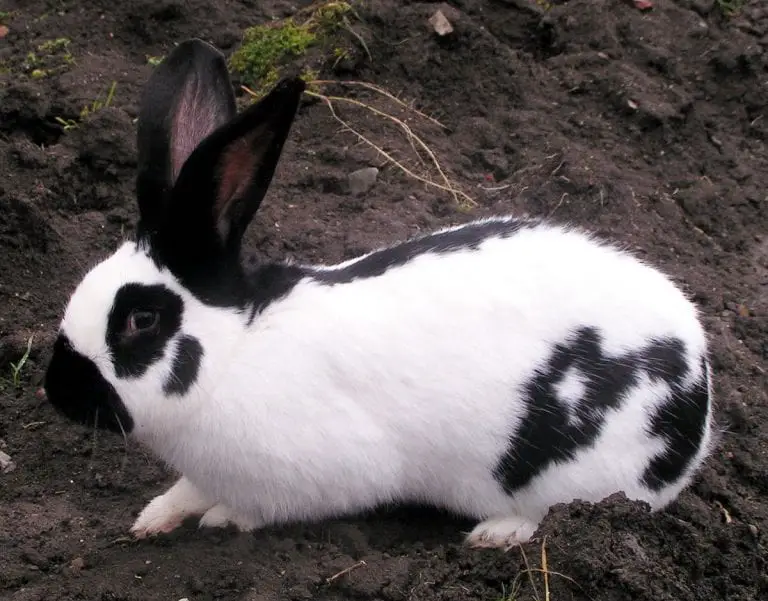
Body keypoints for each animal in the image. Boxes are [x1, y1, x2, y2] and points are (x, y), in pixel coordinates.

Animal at [43, 38, 715, 549]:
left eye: (141, 321)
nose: (56, 393)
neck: (235, 351)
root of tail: (701, 394)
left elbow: (257, 508)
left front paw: (222, 520)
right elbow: (186, 491)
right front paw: (152, 519)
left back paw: (496, 535)